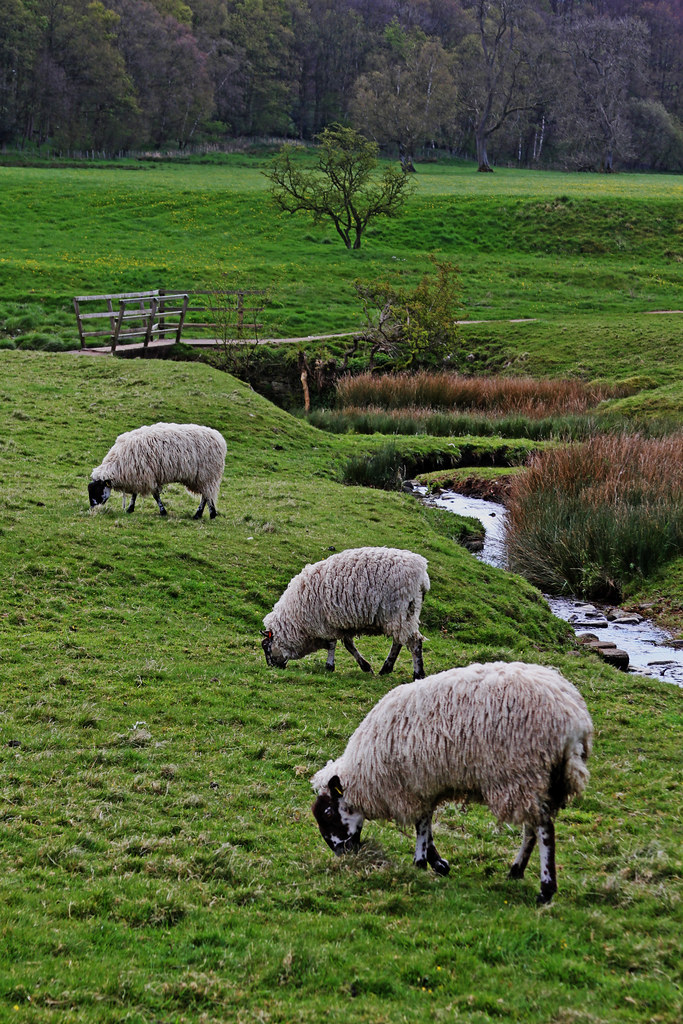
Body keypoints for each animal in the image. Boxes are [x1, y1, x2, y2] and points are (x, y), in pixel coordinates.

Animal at [88, 422, 226, 518]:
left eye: (97, 489)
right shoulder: (138, 474)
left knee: (206, 495)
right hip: (202, 477)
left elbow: (155, 495)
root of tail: (219, 438)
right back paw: (207, 514)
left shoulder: (147, 475)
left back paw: (204, 514)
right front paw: (130, 508)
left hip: (207, 475)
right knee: (206, 495)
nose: (92, 507)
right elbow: (135, 494)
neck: (118, 462)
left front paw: (163, 511)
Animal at [262, 547, 430, 679]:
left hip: (399, 611)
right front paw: (365, 666)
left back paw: (418, 673)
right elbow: (349, 645)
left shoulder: (325, 622)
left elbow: (332, 643)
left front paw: (329, 666)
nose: (273, 667)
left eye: (266, 647)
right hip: (401, 614)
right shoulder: (342, 623)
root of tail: (422, 575)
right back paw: (386, 668)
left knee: (414, 642)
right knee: (399, 641)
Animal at [311, 661, 593, 904]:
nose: (342, 854)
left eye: (328, 812)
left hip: (524, 772)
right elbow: (425, 824)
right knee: (532, 828)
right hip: (538, 781)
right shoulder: (427, 783)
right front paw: (436, 863)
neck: (364, 771)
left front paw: (420, 862)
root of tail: (573, 718)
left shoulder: (414, 783)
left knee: (544, 829)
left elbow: (421, 825)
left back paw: (546, 889)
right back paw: (516, 870)